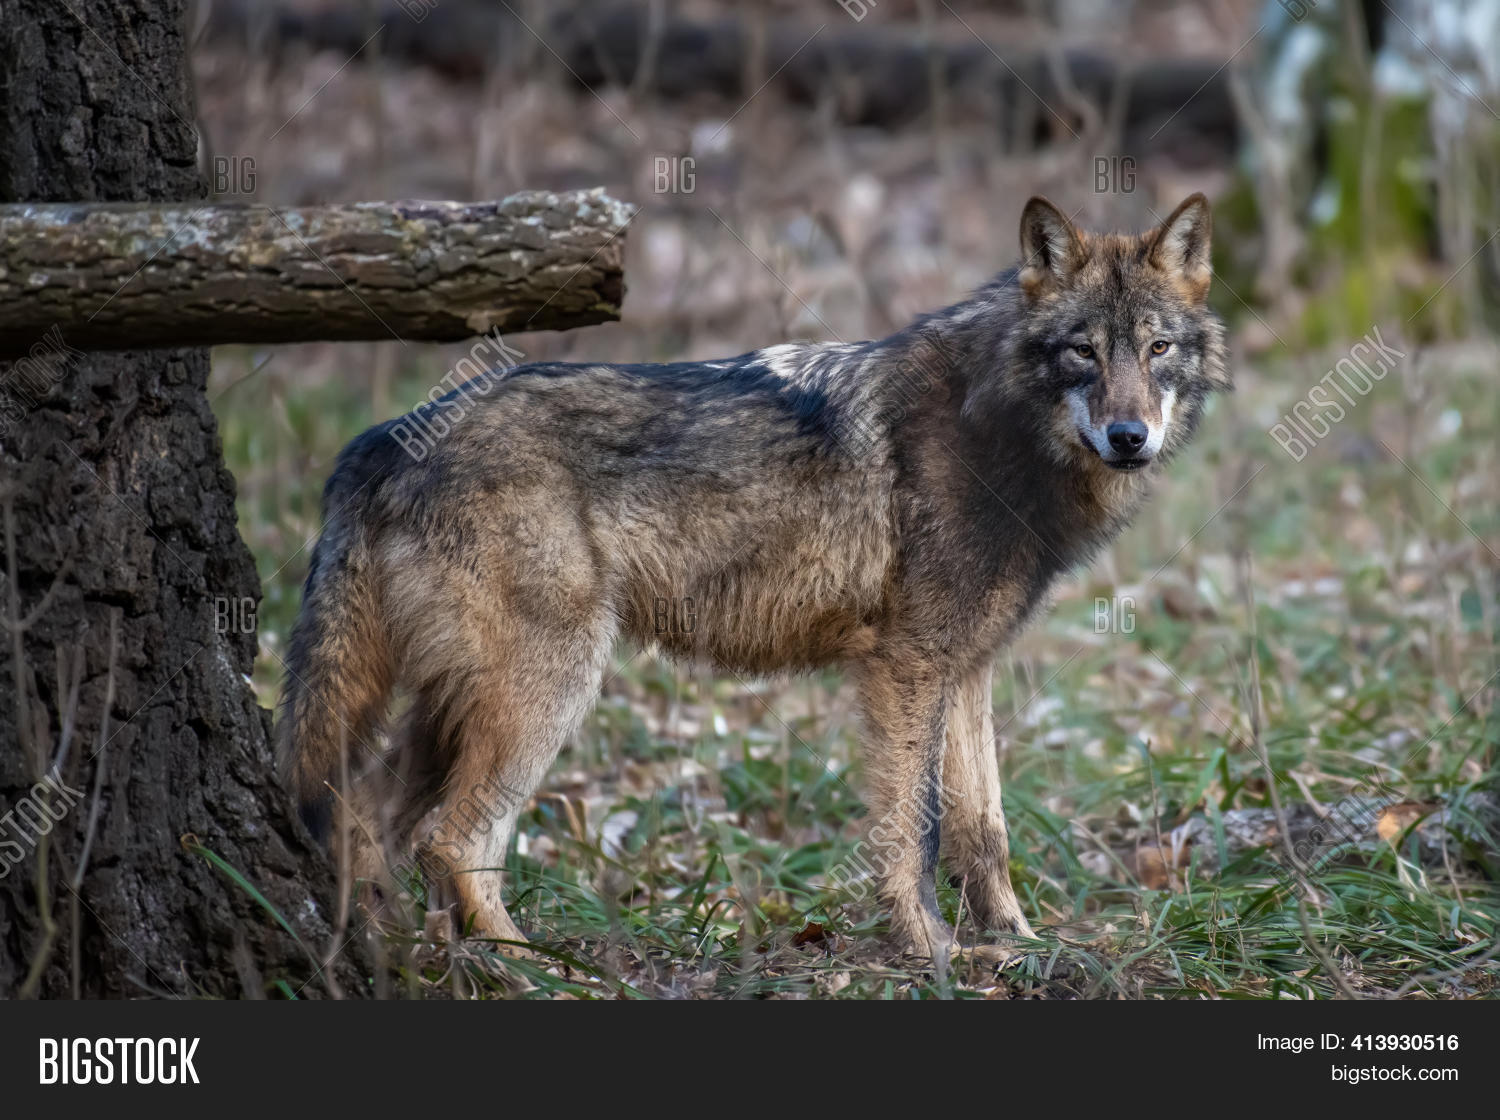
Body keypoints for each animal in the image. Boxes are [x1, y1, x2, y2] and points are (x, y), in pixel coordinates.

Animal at [277, 194, 1230, 963]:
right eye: (1082, 353)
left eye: (1157, 348)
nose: (1130, 436)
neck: (998, 426)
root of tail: (382, 438)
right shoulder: (906, 667)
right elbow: (913, 831)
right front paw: (931, 949)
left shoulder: (966, 669)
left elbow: (984, 830)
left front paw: (1021, 943)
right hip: (549, 690)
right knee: (454, 837)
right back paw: (533, 970)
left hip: (454, 707)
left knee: (374, 819)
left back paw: (400, 949)